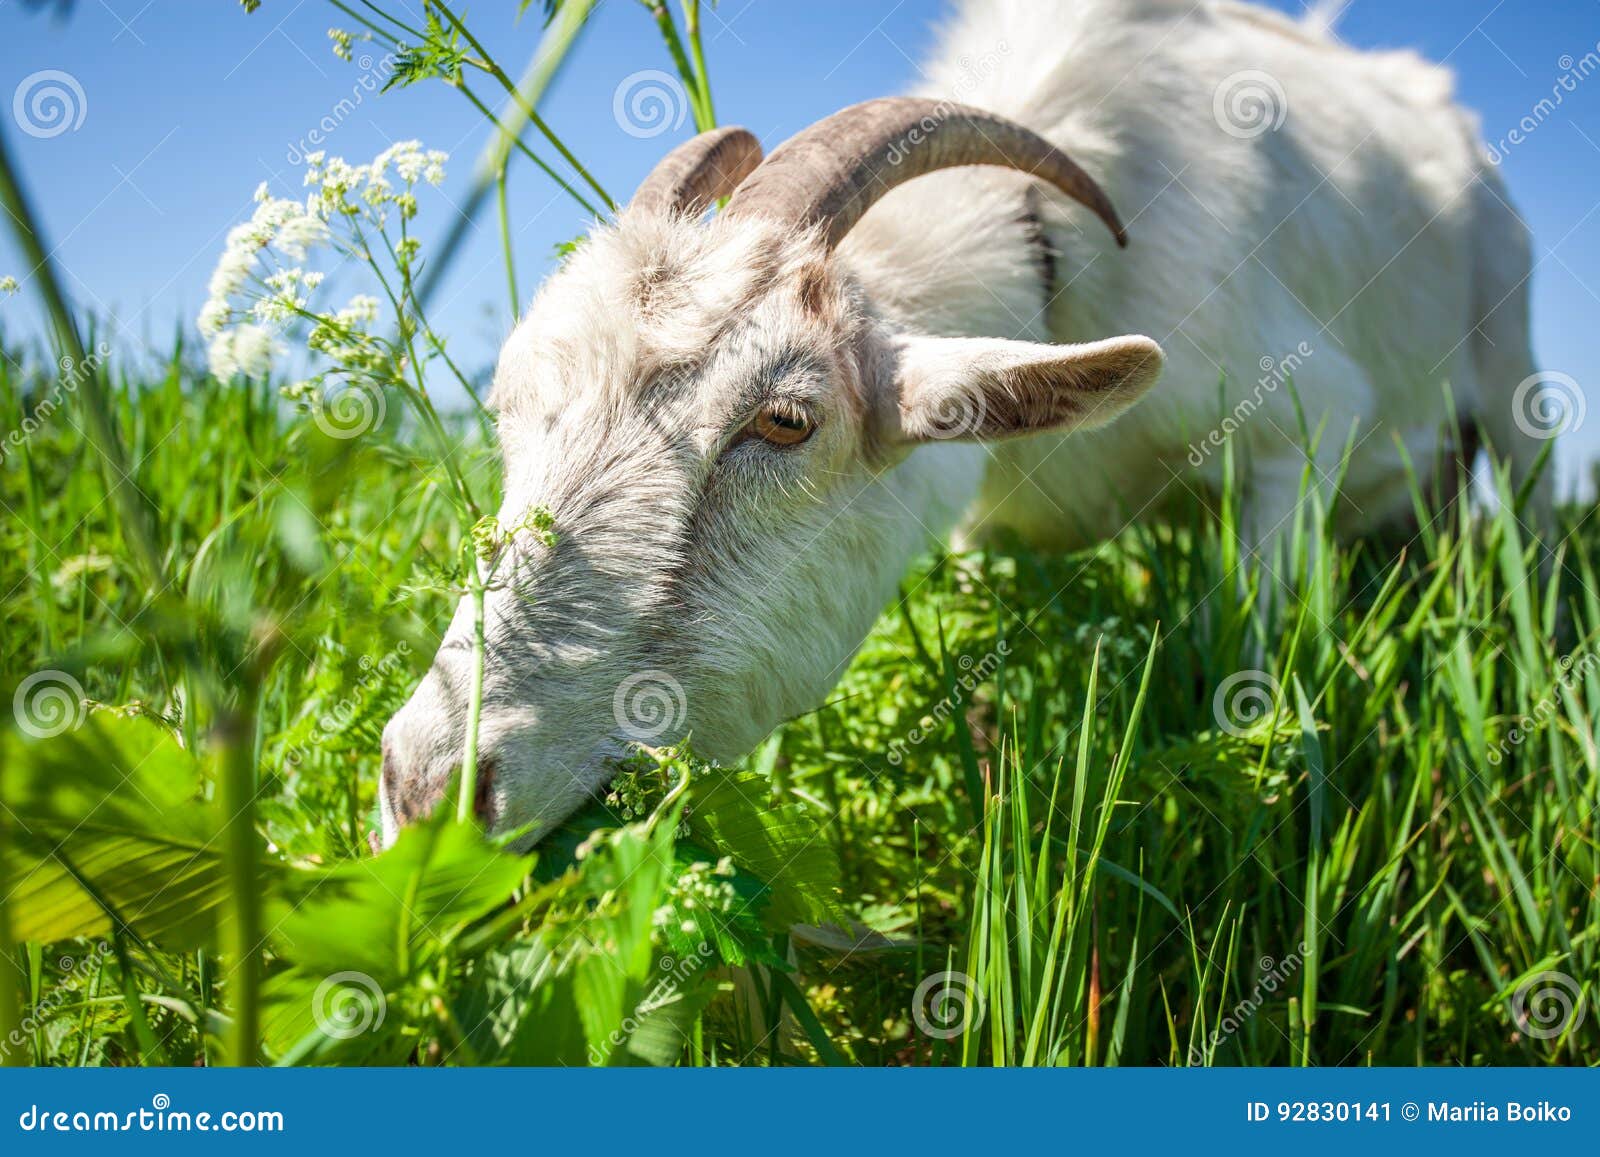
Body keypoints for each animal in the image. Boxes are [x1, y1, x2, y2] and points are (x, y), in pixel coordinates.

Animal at [380, 0, 1543, 845]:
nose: (424, 786)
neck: (1060, 248)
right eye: (508, 410)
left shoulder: (1301, 429)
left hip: (1511, 365)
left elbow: (1249, 641)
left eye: (786, 420)